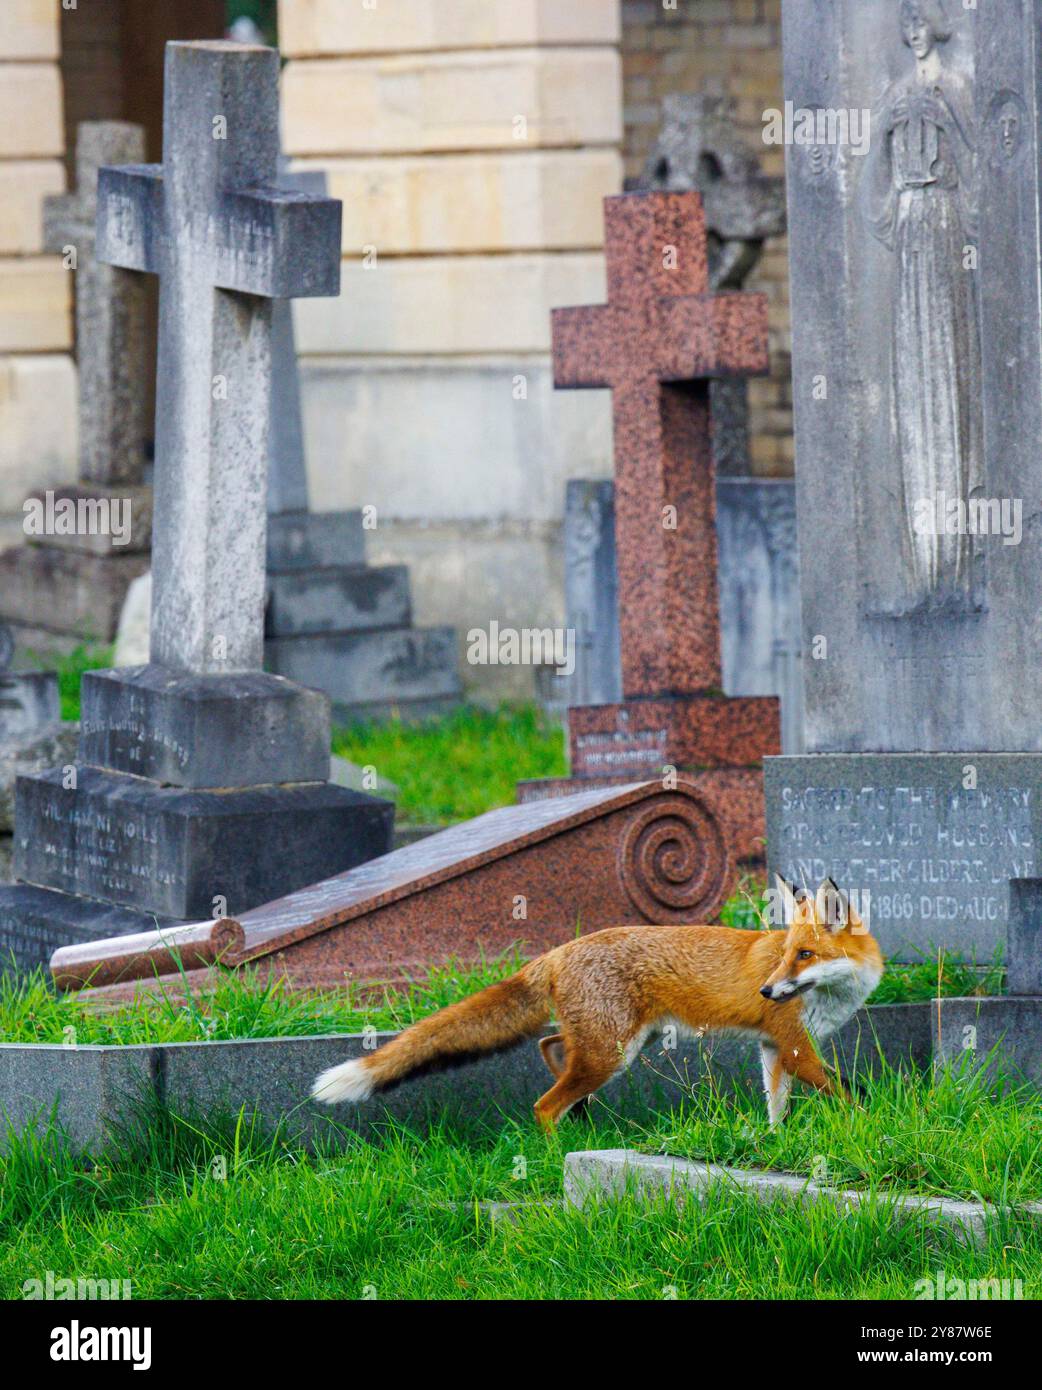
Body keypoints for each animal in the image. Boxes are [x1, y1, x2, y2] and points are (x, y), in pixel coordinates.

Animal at [311, 876, 883, 1128]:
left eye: (803, 955)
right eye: (786, 955)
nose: (765, 990)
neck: (833, 995)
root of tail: (558, 951)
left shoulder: (773, 1050)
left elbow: (775, 1106)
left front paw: (773, 1141)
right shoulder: (795, 1047)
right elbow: (846, 1092)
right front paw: (873, 1125)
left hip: (616, 1044)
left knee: (549, 1046)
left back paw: (580, 1118)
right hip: (613, 1052)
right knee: (544, 1102)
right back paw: (557, 1146)